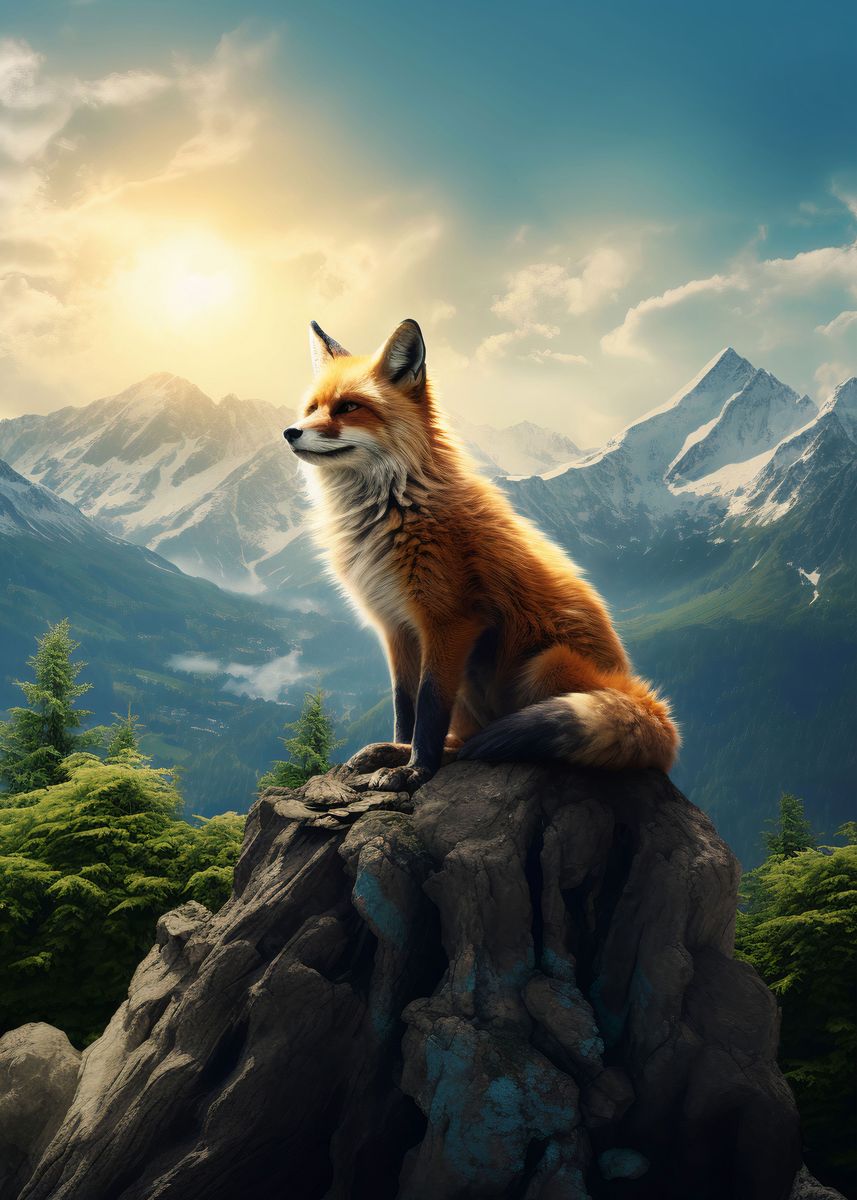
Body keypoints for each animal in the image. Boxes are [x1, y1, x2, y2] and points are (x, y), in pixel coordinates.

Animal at [284, 318, 679, 793]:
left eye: (347, 408)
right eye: (312, 408)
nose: (290, 432)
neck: (396, 506)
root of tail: (653, 714)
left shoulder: (449, 621)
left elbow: (429, 708)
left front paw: (415, 770)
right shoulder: (396, 626)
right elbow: (405, 707)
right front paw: (400, 753)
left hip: (544, 664)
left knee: (491, 738)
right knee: (468, 737)